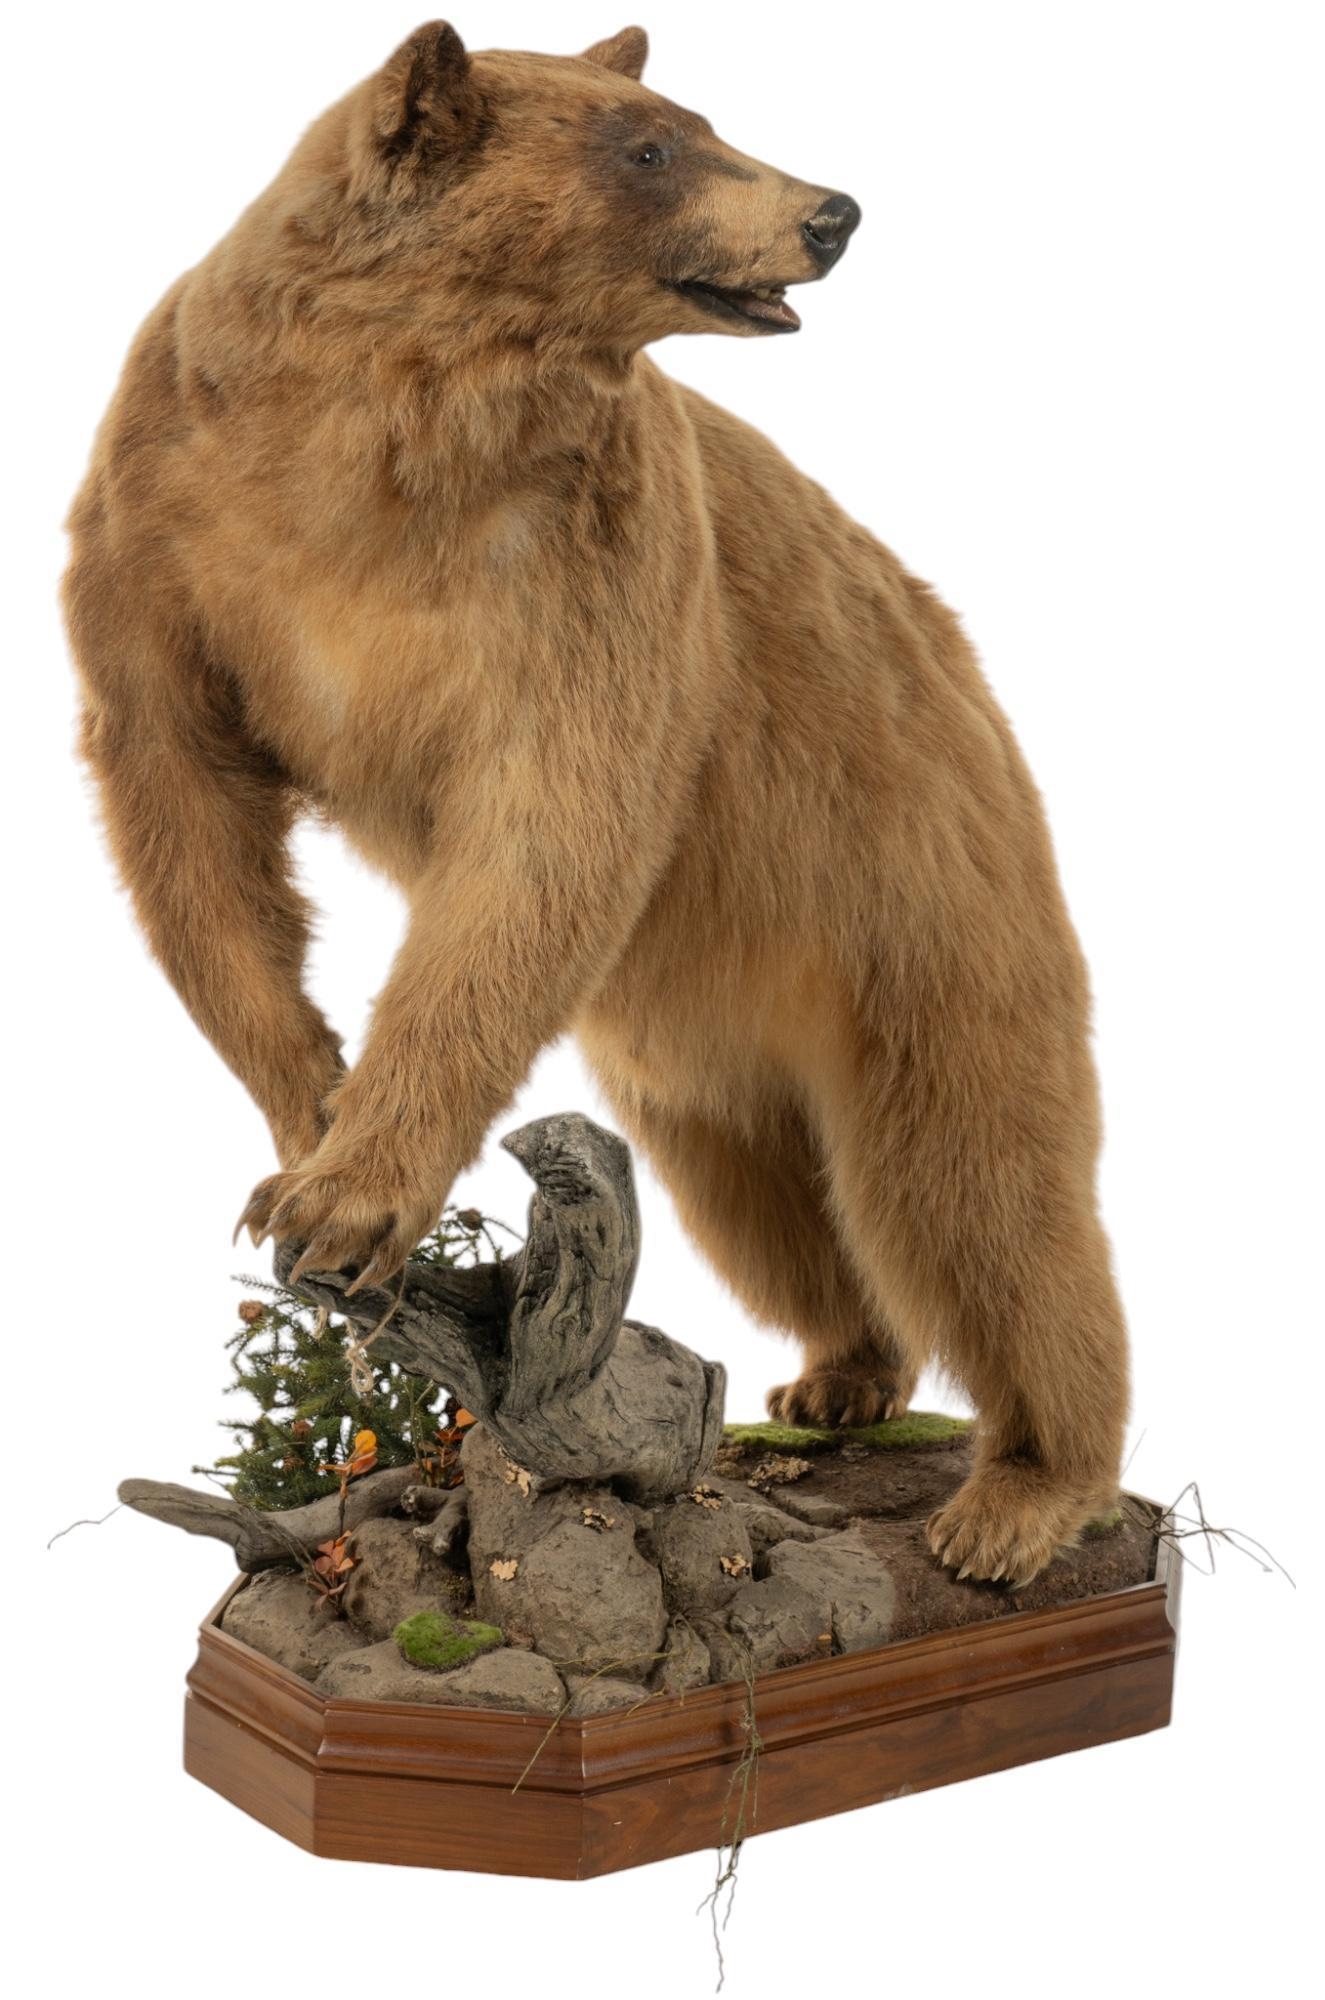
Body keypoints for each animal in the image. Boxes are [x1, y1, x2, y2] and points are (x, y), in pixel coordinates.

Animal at [63, 23, 1129, 1586]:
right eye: (649, 146)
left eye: (689, 118)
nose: (832, 211)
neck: (403, 405)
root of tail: (968, 676)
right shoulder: (168, 524)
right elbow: (184, 816)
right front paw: (301, 1134)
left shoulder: (584, 554)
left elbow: (547, 825)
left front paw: (354, 1192)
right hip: (700, 1055)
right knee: (777, 1202)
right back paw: (840, 1371)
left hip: (926, 887)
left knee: (975, 1183)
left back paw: (1018, 1497)